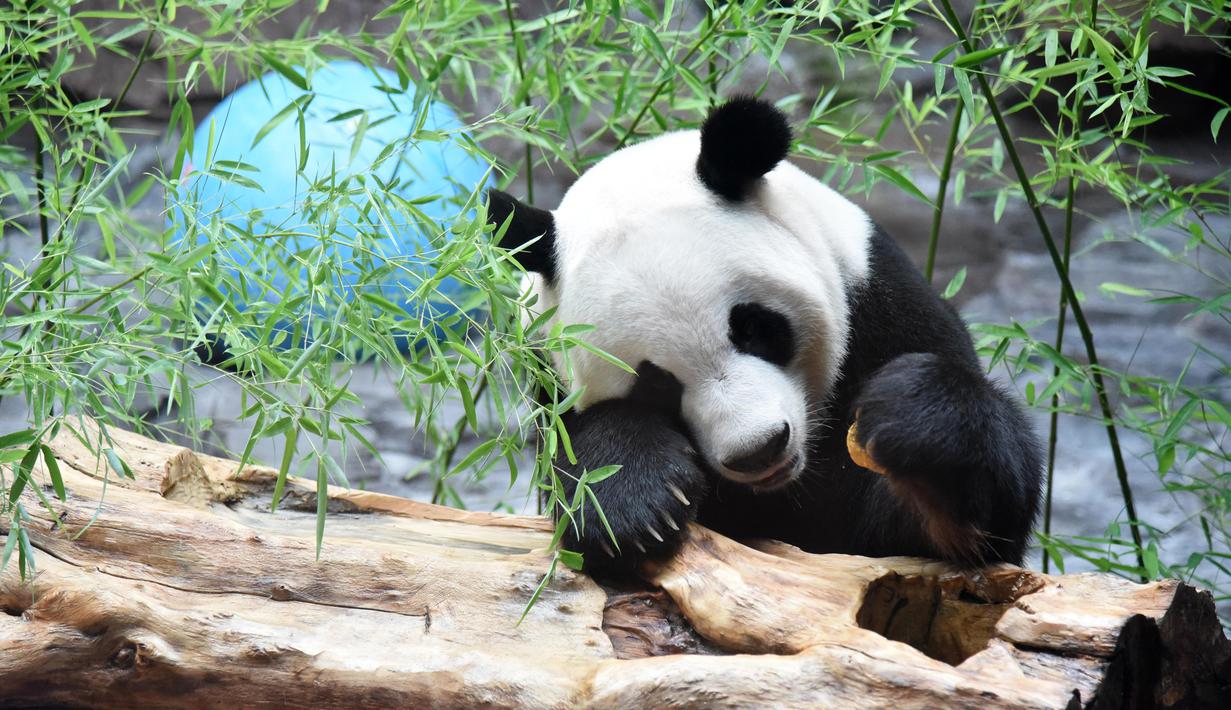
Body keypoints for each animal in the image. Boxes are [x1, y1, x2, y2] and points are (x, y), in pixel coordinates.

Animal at [486, 97, 1042, 572]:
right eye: (656, 383)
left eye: (754, 328)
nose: (759, 450)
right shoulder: (546, 383)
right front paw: (632, 502)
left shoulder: (883, 305)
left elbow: (933, 537)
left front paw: (916, 429)